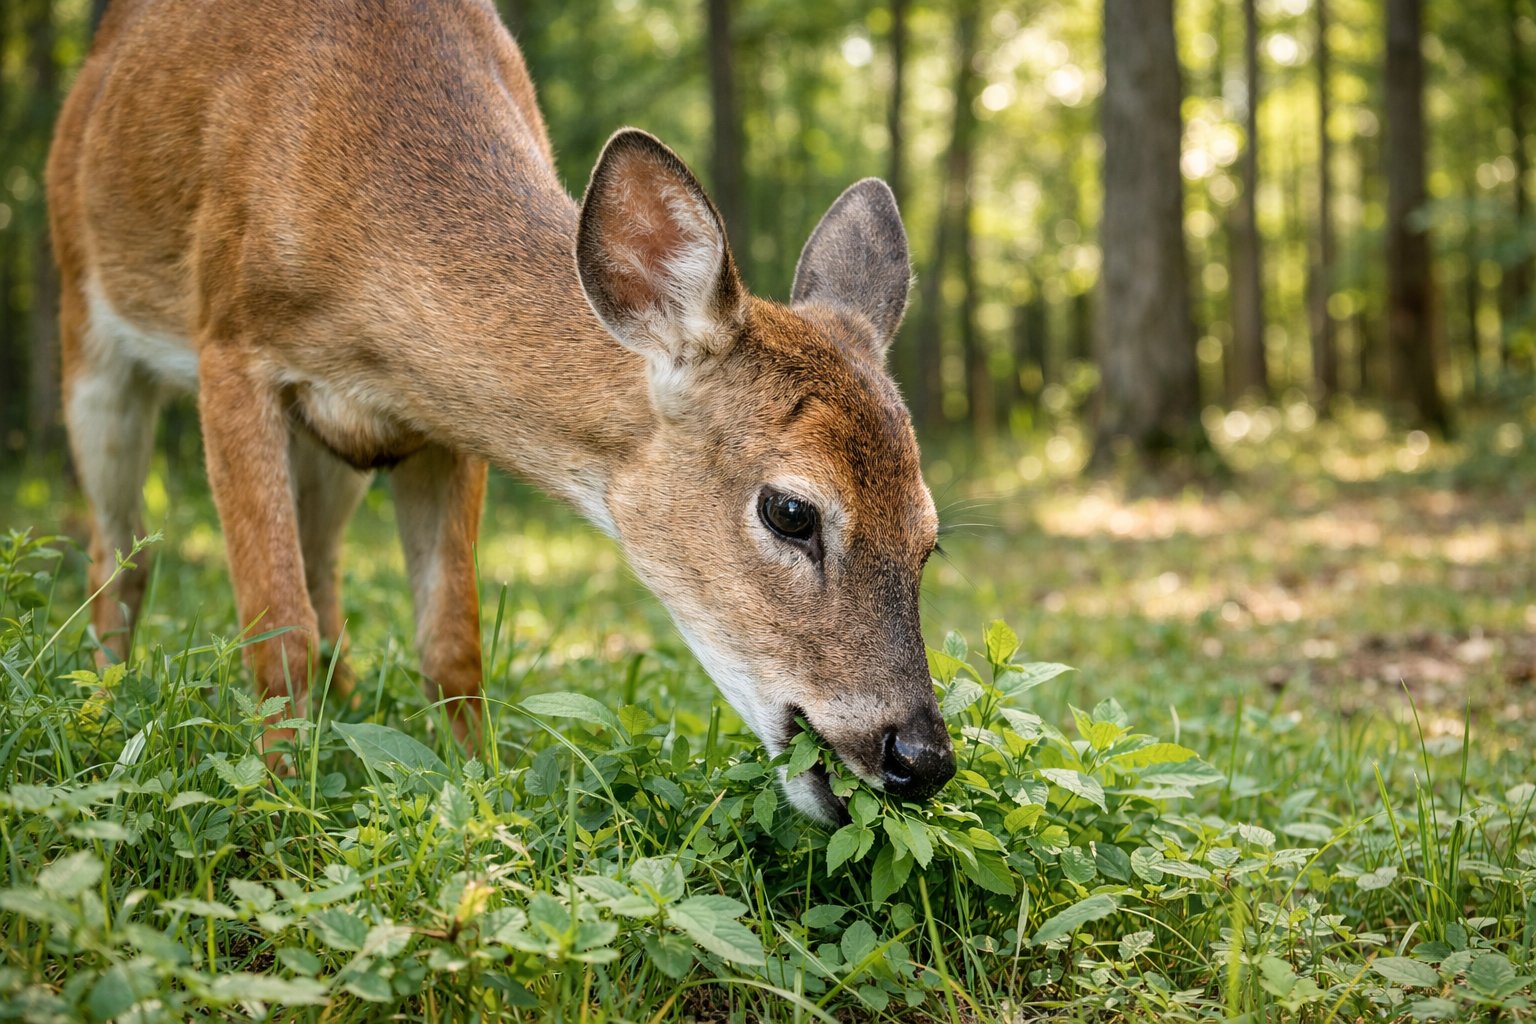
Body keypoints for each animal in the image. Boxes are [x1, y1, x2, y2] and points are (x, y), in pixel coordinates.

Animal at [46, 0, 954, 823]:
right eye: (791, 511)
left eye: (929, 538)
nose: (921, 756)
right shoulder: (230, 346)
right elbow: (278, 628)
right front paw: (277, 807)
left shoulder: (440, 421)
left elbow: (452, 642)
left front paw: (475, 789)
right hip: (89, 332)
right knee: (120, 555)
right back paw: (103, 707)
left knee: (321, 564)